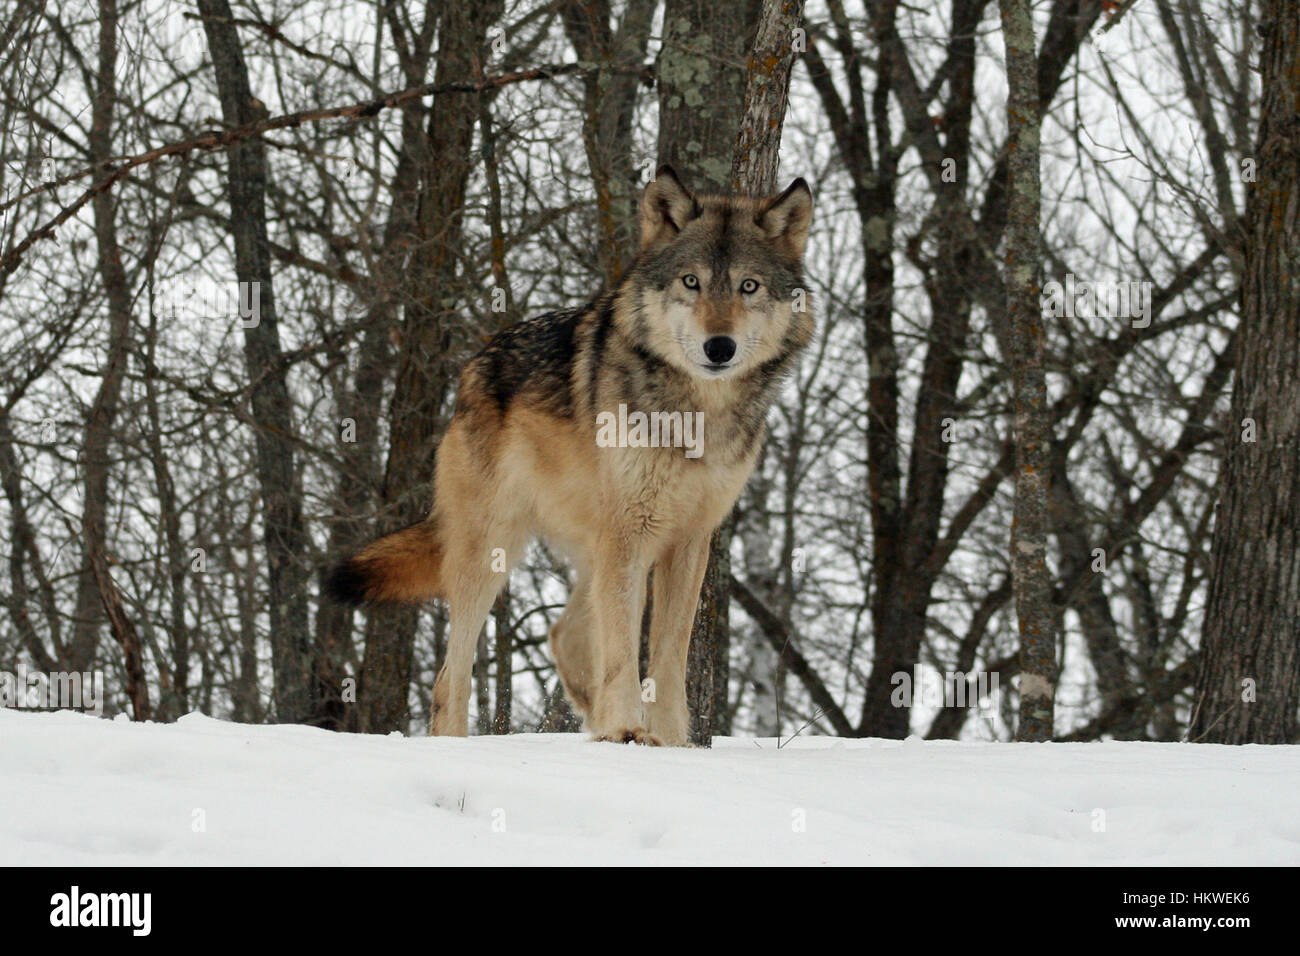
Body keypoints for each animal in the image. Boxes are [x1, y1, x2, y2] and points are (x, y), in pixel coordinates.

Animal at [326, 166, 813, 746]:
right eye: (691, 282)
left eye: (748, 286)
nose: (720, 347)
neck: (697, 413)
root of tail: (471, 367)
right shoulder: (634, 530)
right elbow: (625, 648)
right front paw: (627, 729)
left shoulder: (690, 539)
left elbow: (668, 656)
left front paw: (672, 743)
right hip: (496, 549)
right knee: (452, 676)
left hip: (599, 546)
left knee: (565, 634)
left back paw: (590, 713)